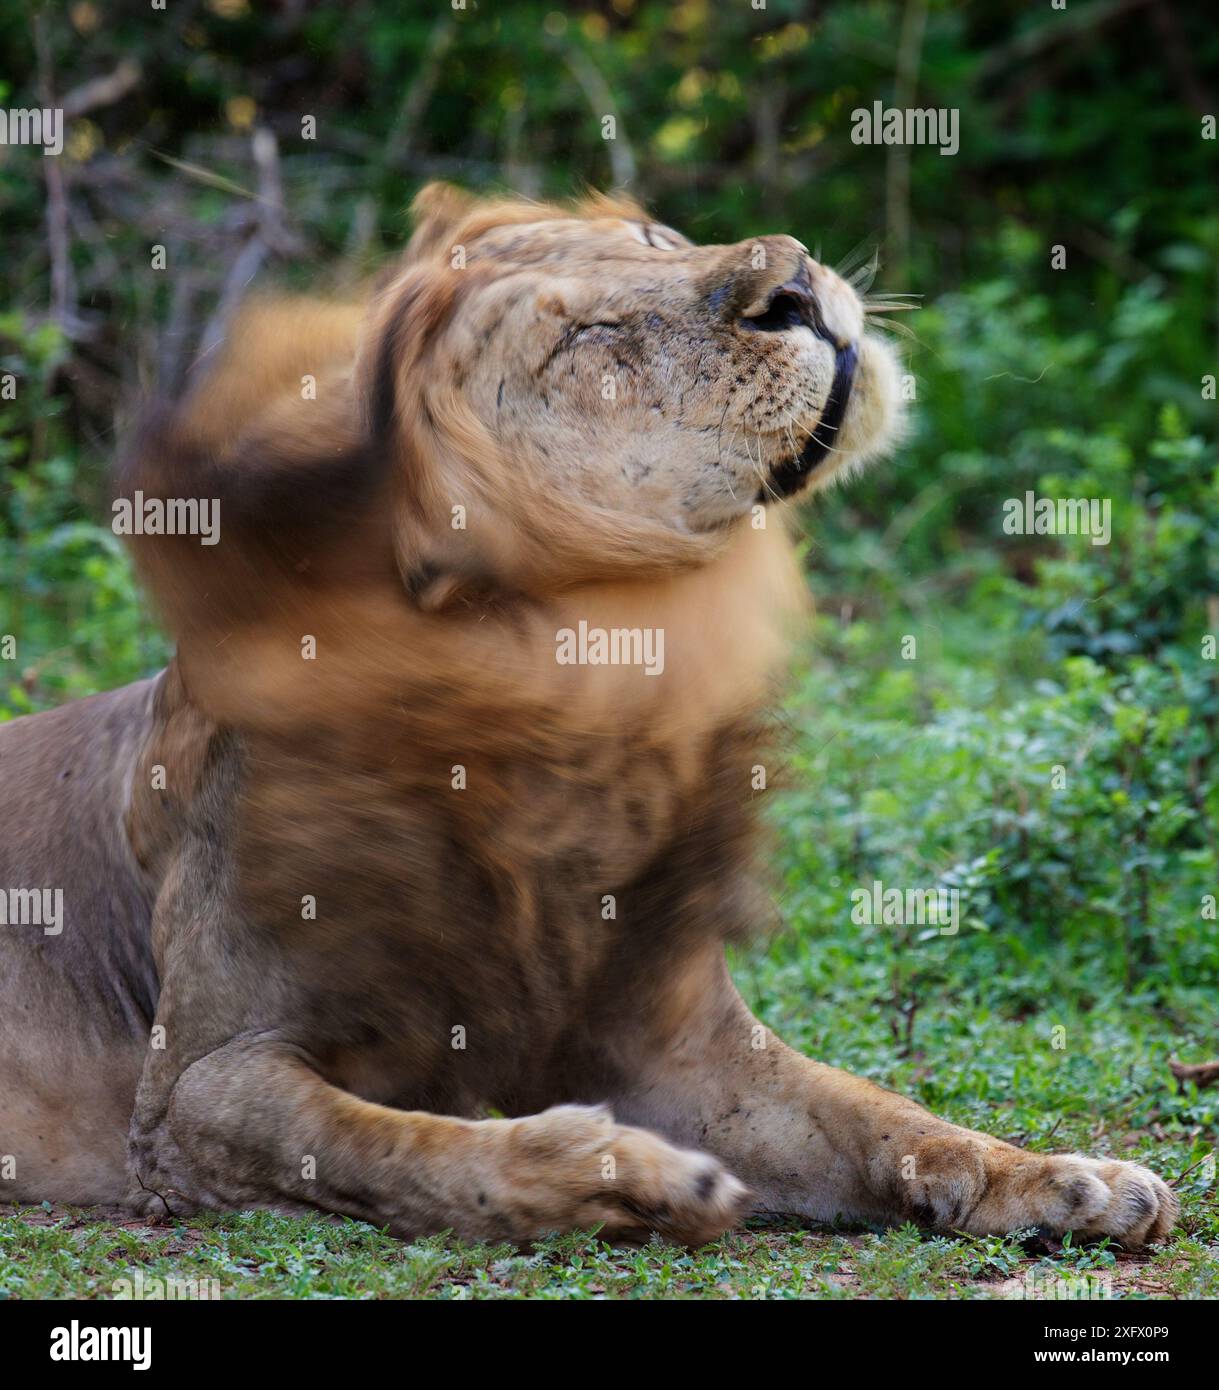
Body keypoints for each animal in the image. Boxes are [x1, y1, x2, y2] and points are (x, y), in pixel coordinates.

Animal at [0, 185, 1176, 1248]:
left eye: (656, 238)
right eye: (586, 338)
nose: (793, 278)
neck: (568, 724)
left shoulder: (685, 1045)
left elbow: (883, 1112)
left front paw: (1065, 1179)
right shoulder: (188, 1098)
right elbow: (415, 1148)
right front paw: (632, 1177)